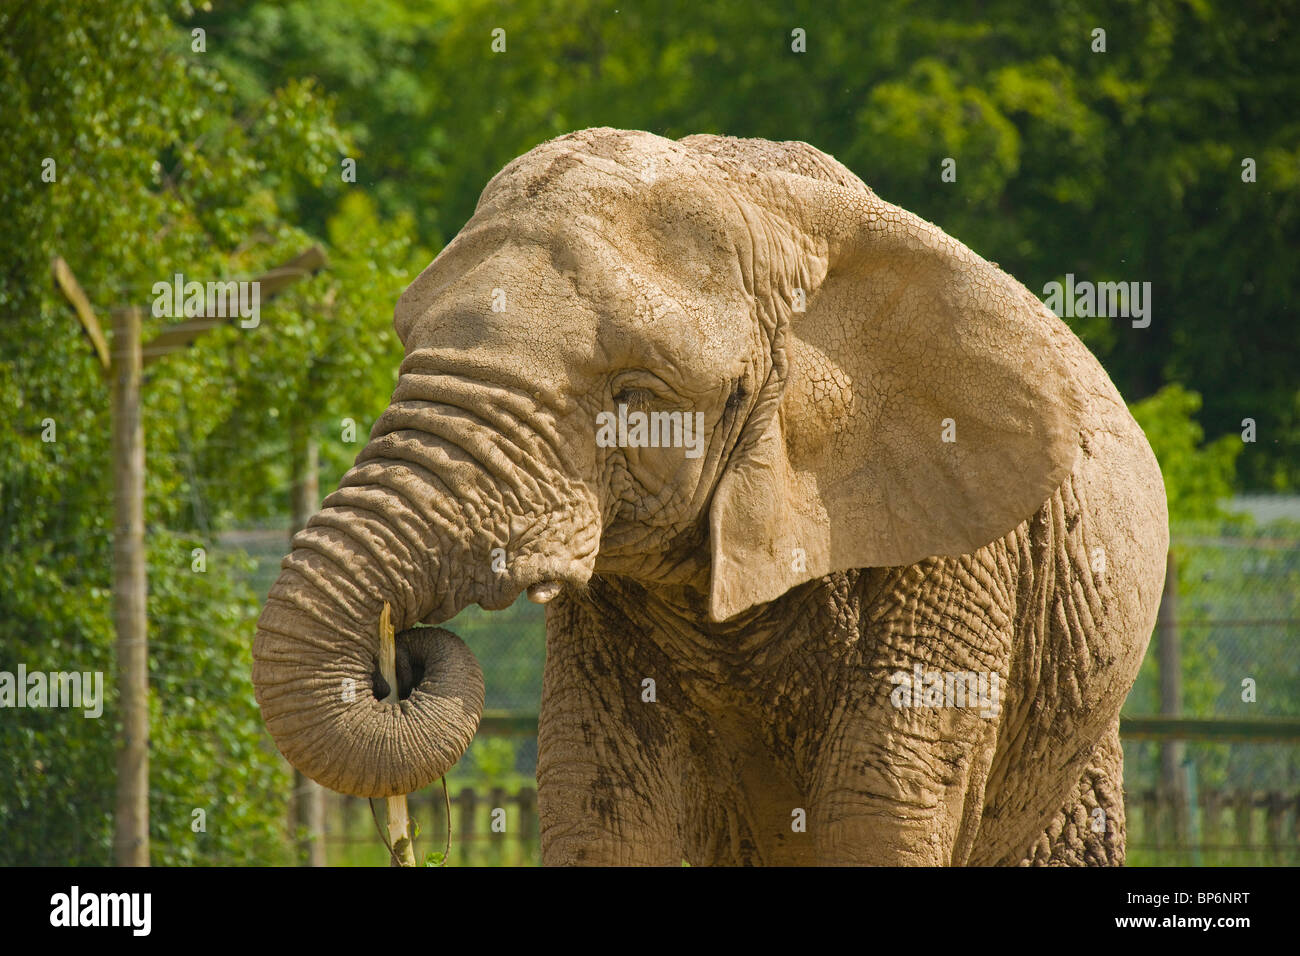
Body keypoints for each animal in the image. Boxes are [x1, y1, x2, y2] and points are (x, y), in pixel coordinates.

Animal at [252, 127, 1168, 866]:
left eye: (634, 394)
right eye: (405, 339)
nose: (398, 659)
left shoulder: (965, 540)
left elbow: (878, 798)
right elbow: (602, 798)